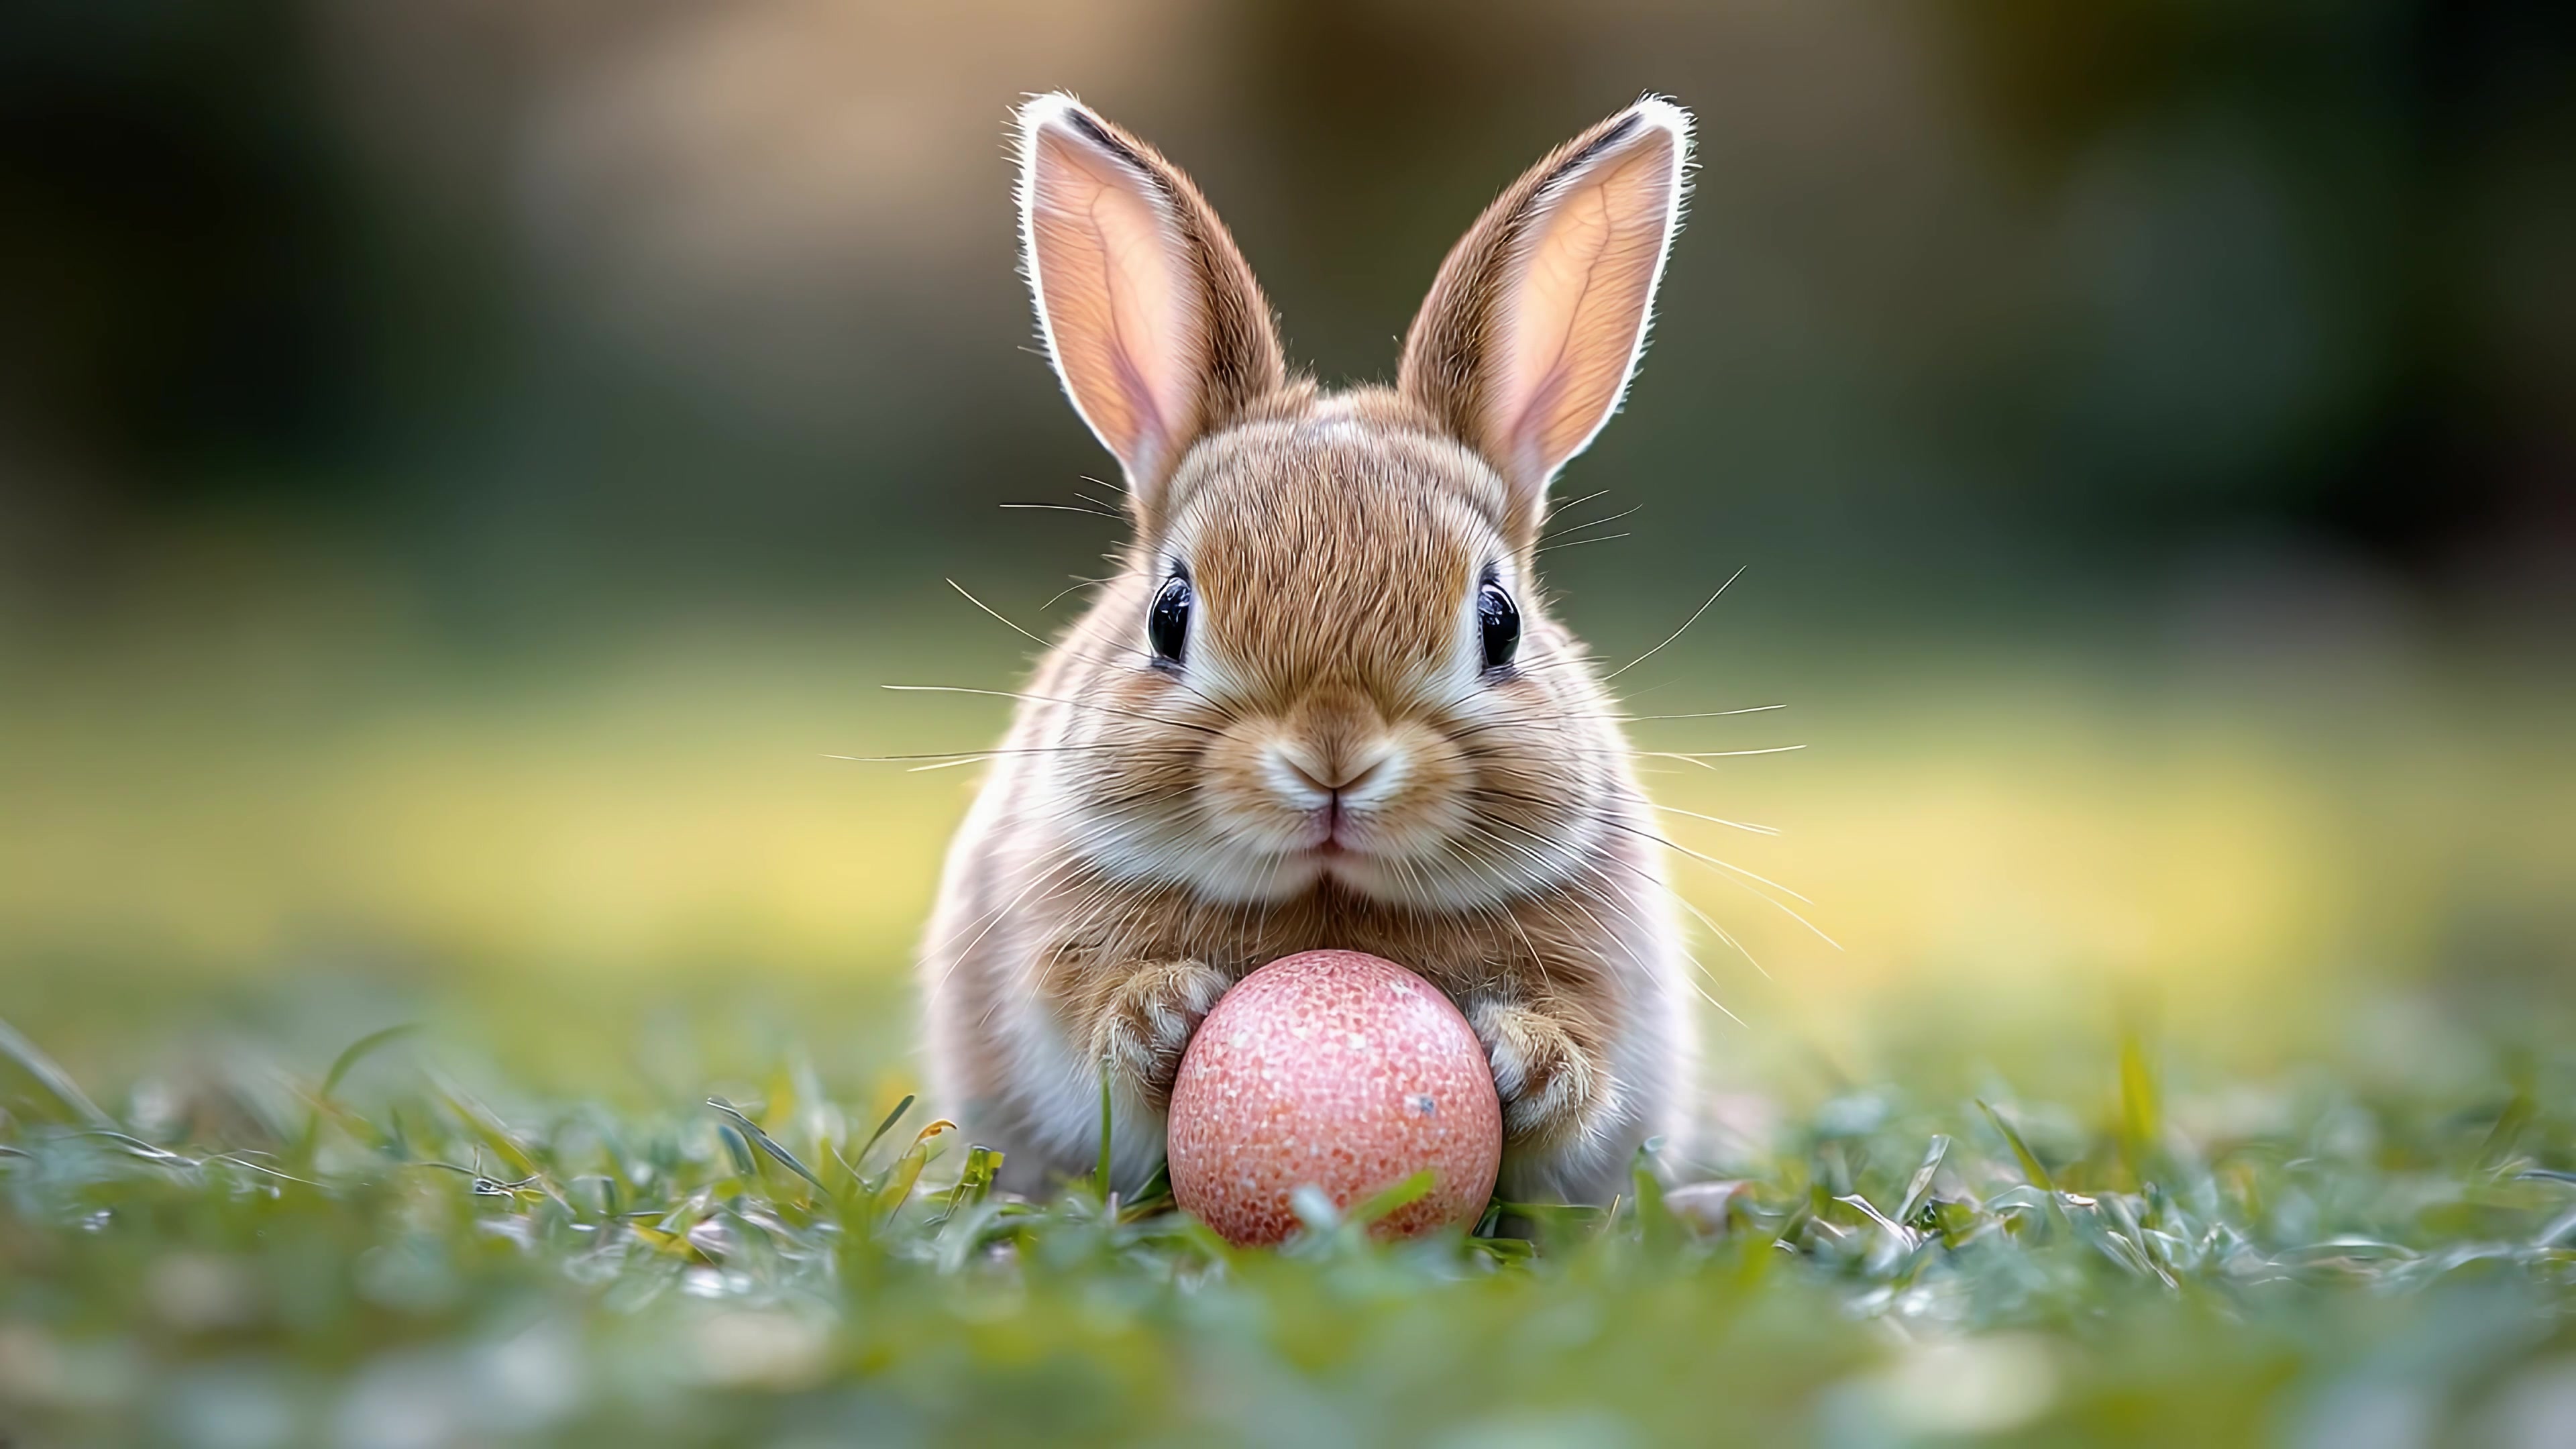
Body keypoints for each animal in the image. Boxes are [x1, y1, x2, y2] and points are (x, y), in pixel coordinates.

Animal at [921, 91, 1698, 1207]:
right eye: (1169, 615)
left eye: (1499, 621)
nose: (1334, 756)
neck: (1329, 899)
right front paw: (1161, 1016)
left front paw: (1529, 1064)